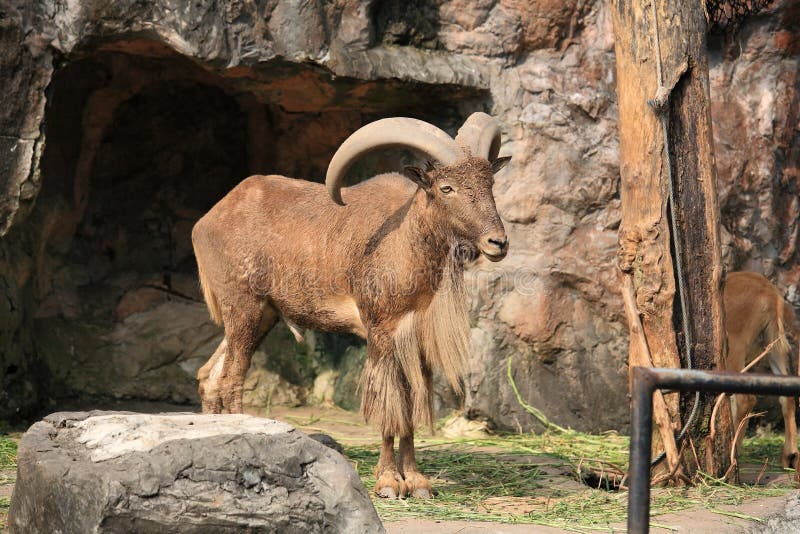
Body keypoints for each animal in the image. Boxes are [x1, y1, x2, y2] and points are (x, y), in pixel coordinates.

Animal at [192, 113, 510, 498]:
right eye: (447, 188)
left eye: (489, 182)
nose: (498, 242)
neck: (405, 240)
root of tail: (207, 220)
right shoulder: (381, 332)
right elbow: (389, 406)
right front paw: (388, 483)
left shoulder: (415, 342)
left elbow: (410, 408)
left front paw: (417, 481)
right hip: (244, 307)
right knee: (232, 378)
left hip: (263, 315)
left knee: (209, 376)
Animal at [724, 271, 799, 469]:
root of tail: (769, 293)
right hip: (772, 346)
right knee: (787, 397)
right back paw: (790, 455)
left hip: (735, 350)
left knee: (745, 400)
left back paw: (733, 455)